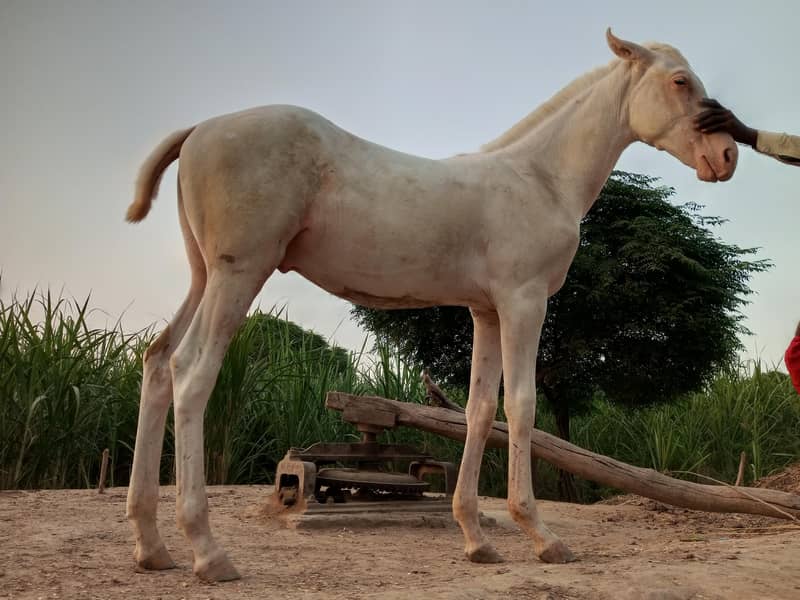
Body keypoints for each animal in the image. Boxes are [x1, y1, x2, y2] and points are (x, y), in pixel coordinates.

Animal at [125, 30, 737, 581]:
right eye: (679, 81)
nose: (727, 154)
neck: (540, 177)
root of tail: (199, 130)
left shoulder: (486, 312)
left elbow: (479, 410)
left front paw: (476, 539)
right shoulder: (523, 303)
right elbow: (522, 406)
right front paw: (541, 536)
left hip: (204, 277)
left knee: (157, 363)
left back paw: (152, 546)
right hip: (238, 274)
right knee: (191, 371)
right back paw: (208, 553)